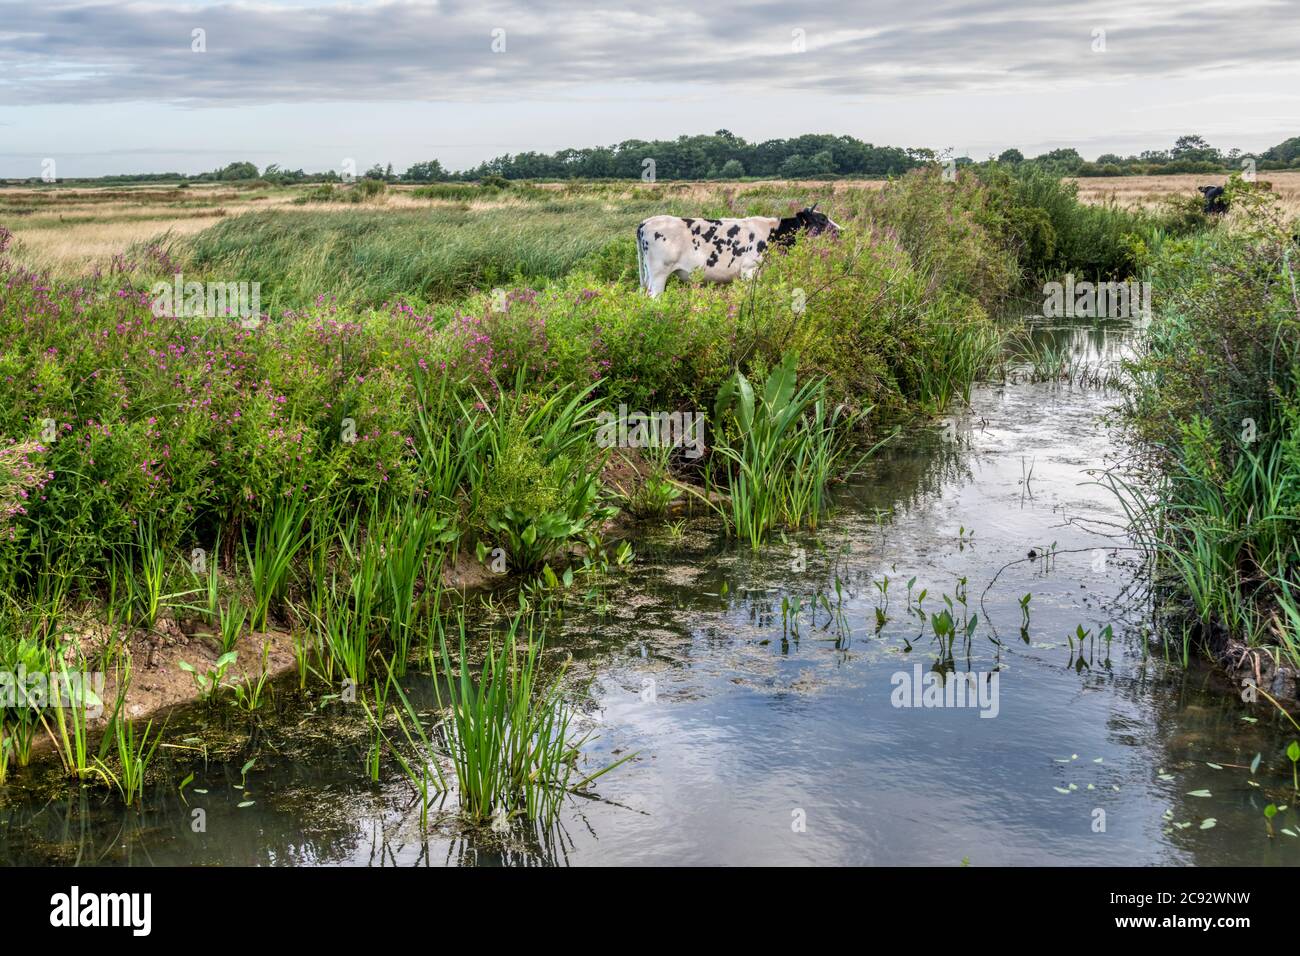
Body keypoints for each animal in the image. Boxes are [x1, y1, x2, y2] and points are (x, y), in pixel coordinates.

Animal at [636, 205, 840, 297]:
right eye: (822, 219)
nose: (841, 230)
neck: (773, 233)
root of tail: (646, 222)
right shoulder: (750, 270)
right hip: (659, 274)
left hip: (648, 276)